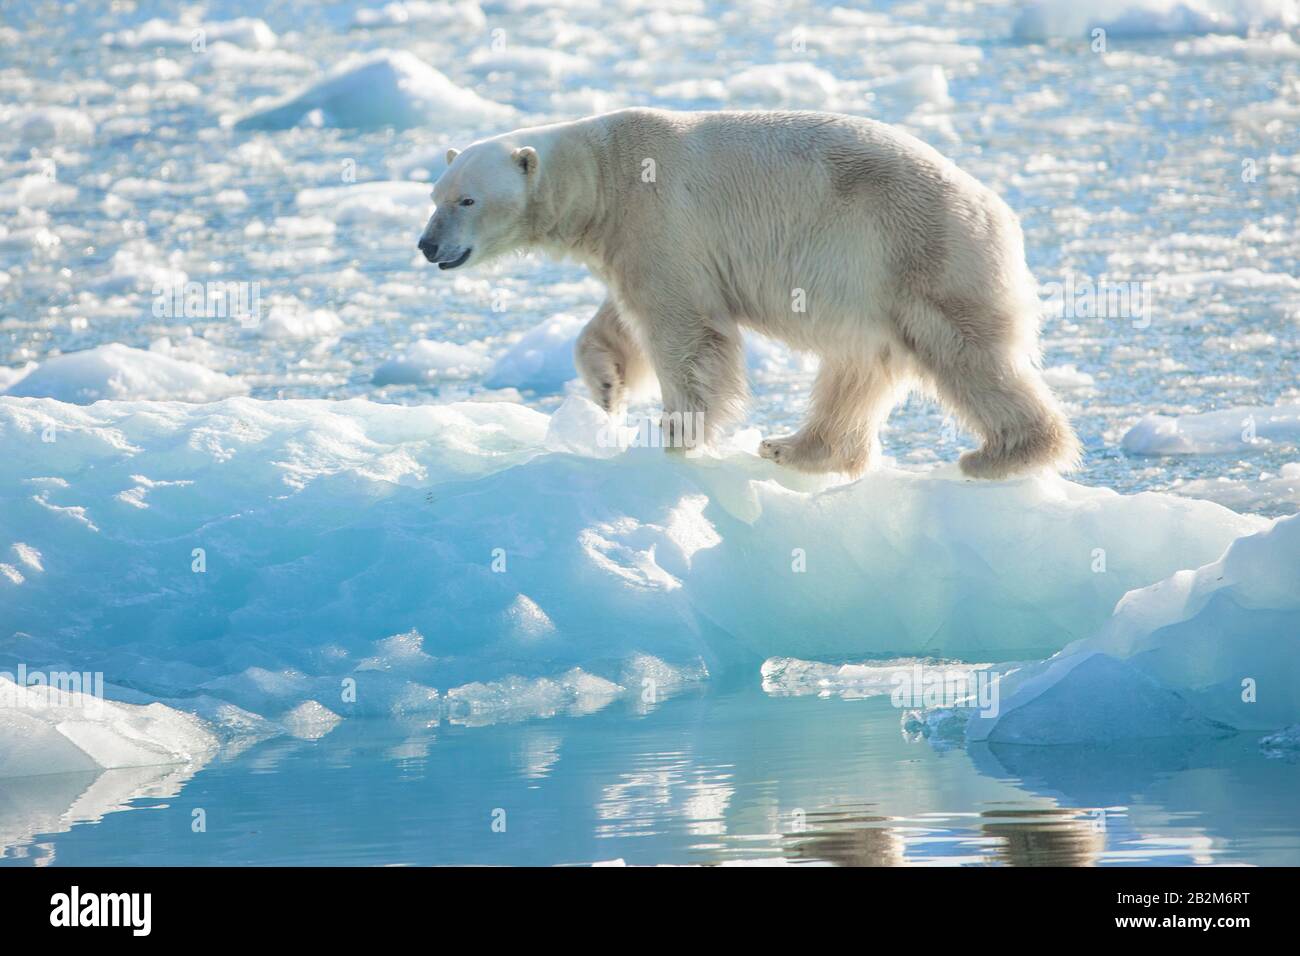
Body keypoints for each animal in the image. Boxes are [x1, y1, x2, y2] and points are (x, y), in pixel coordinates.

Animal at [419, 108, 1081, 479]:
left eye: (467, 200)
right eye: (435, 195)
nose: (427, 245)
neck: (605, 170)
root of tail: (1000, 214)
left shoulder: (659, 219)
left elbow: (684, 331)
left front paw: (677, 437)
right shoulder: (635, 244)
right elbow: (624, 316)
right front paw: (606, 387)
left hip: (918, 254)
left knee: (966, 355)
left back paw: (1002, 455)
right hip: (875, 290)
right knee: (858, 368)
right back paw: (795, 448)